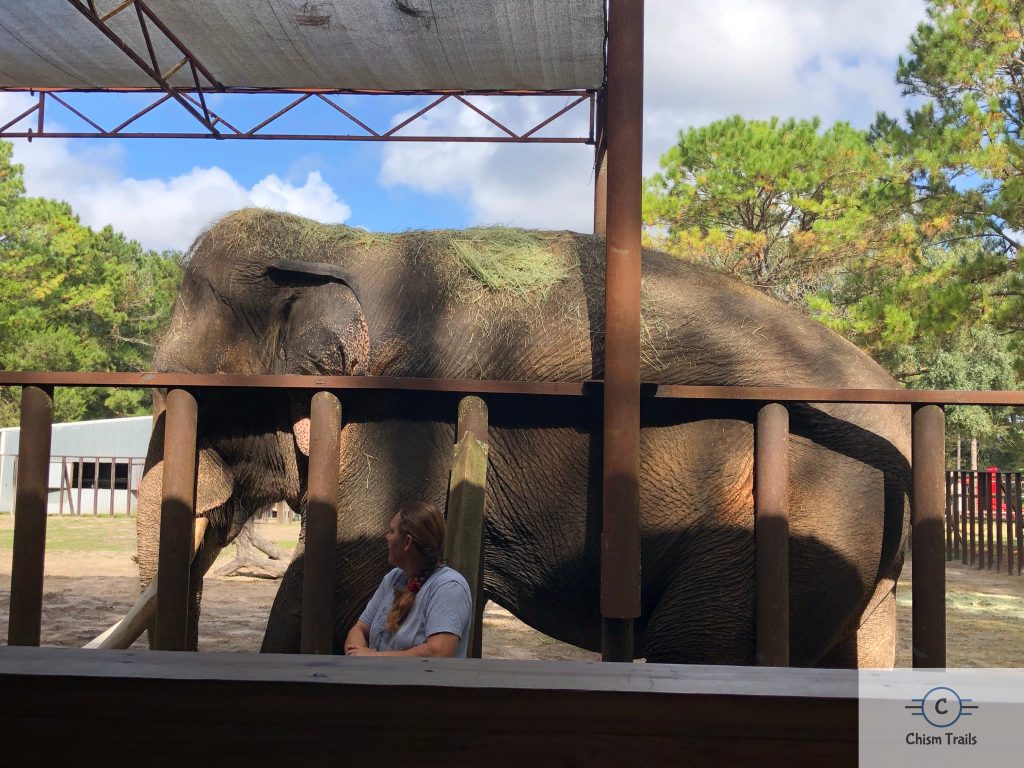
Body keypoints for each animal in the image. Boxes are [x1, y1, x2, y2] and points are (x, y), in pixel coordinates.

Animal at [129, 208, 910, 666]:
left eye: (182, 389)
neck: (337, 240)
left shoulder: (405, 411)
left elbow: (343, 573)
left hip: (804, 506)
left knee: (700, 645)